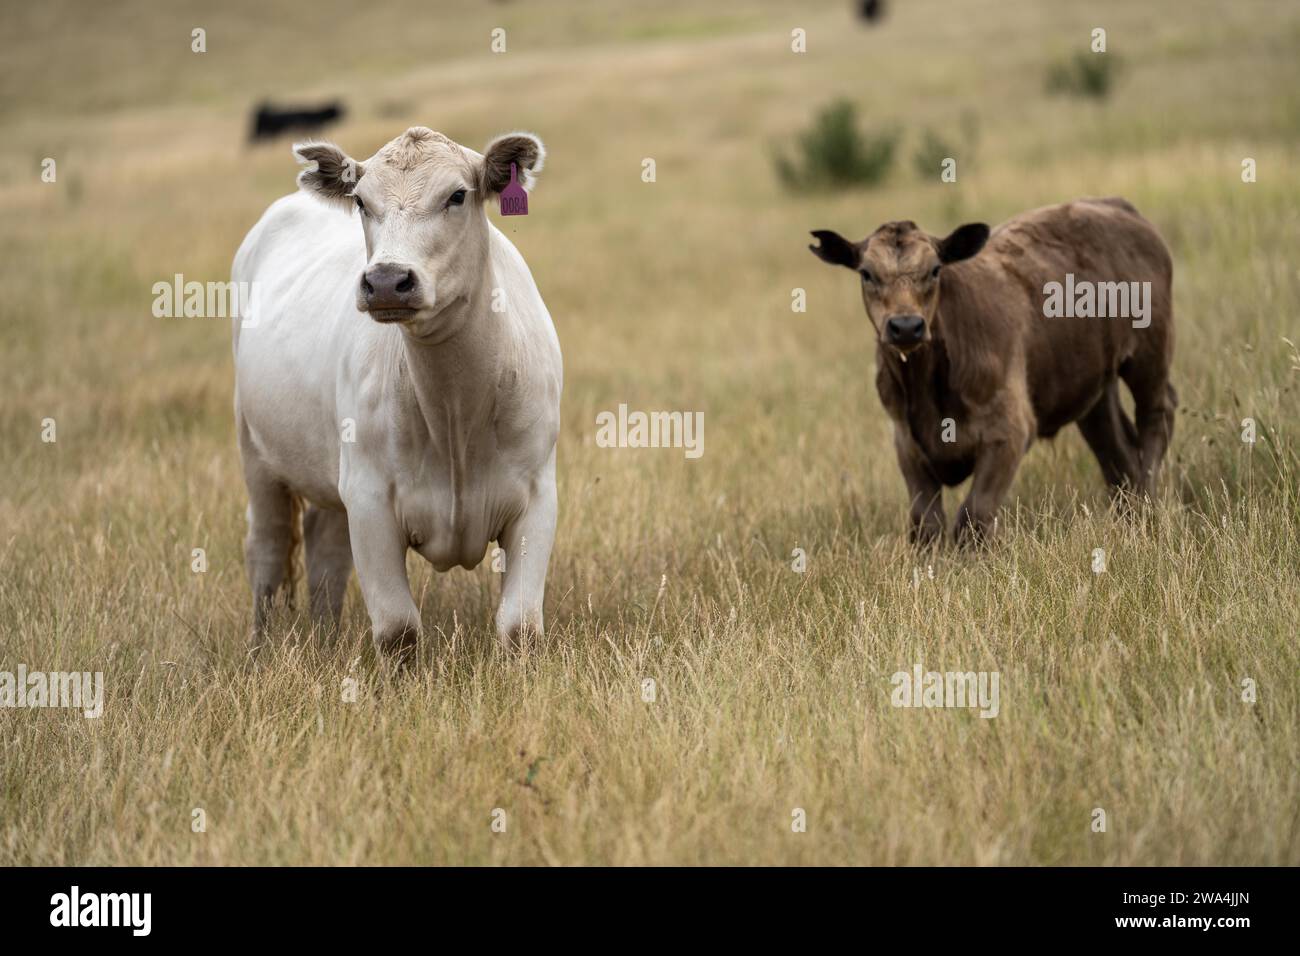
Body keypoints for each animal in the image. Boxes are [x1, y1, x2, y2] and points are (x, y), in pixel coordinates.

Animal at [232, 127, 561, 658]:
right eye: (361, 201)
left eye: (457, 195)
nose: (387, 280)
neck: (454, 413)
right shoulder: (370, 500)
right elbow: (398, 629)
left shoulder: (536, 495)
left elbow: (520, 626)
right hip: (256, 452)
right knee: (267, 547)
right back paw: (261, 650)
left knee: (325, 551)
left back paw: (325, 637)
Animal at [809, 197, 1176, 546]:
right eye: (866, 274)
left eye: (935, 270)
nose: (906, 326)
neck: (927, 390)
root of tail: (1114, 204)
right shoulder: (906, 442)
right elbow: (926, 523)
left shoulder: (1008, 431)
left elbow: (974, 515)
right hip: (1091, 381)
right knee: (1114, 445)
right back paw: (1129, 513)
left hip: (1149, 352)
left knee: (1157, 415)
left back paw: (1148, 499)